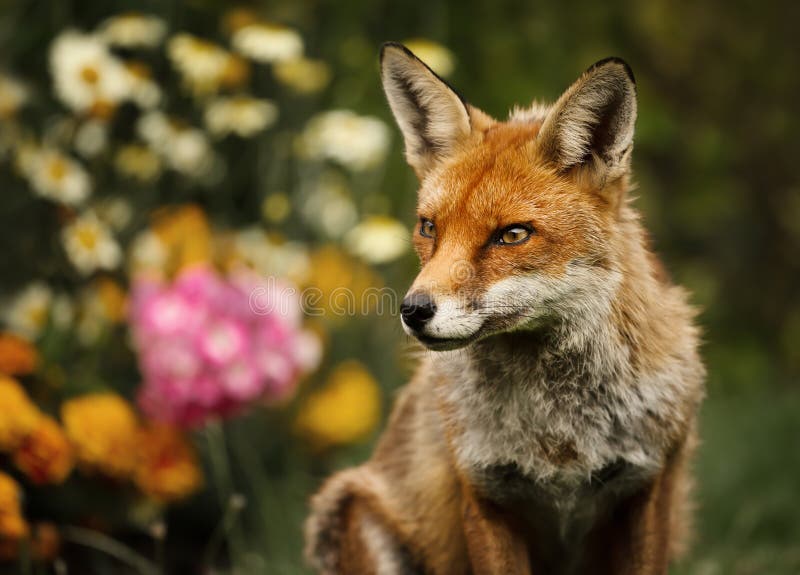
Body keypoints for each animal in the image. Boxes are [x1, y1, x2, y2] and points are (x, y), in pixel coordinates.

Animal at [304, 42, 705, 575]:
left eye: (512, 235)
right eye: (429, 228)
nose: (413, 310)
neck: (560, 437)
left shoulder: (647, 490)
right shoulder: (484, 495)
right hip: (350, 507)